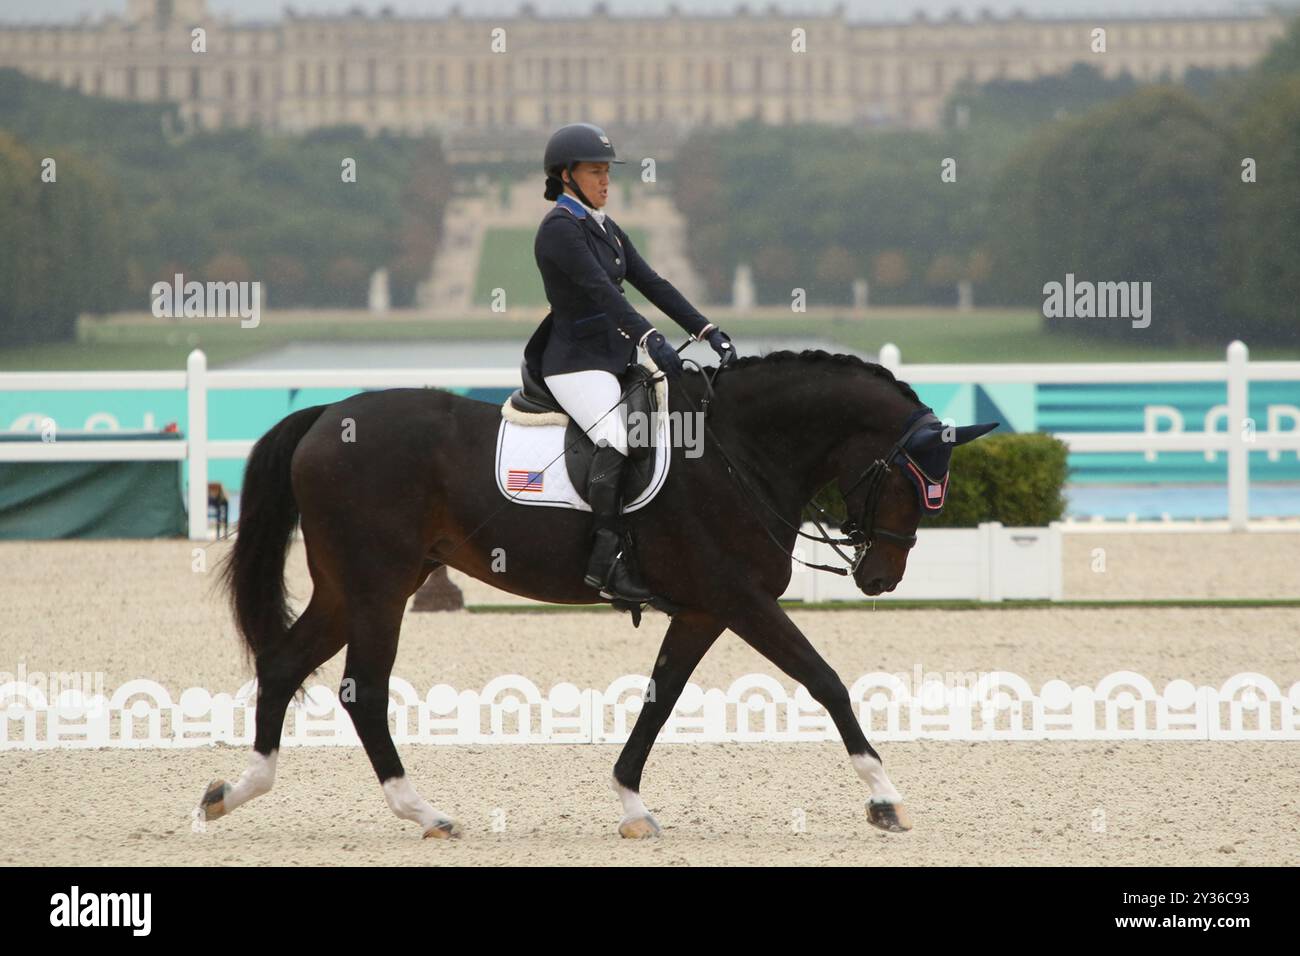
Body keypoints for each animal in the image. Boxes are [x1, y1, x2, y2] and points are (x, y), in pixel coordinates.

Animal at [196, 349, 997, 839]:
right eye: (914, 484)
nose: (880, 578)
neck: (737, 453)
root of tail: (326, 415)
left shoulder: (704, 611)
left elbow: (660, 700)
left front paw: (632, 803)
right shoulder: (741, 601)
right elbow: (825, 681)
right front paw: (884, 798)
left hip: (353, 586)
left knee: (282, 664)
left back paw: (236, 791)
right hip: (378, 587)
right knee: (360, 689)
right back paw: (423, 811)